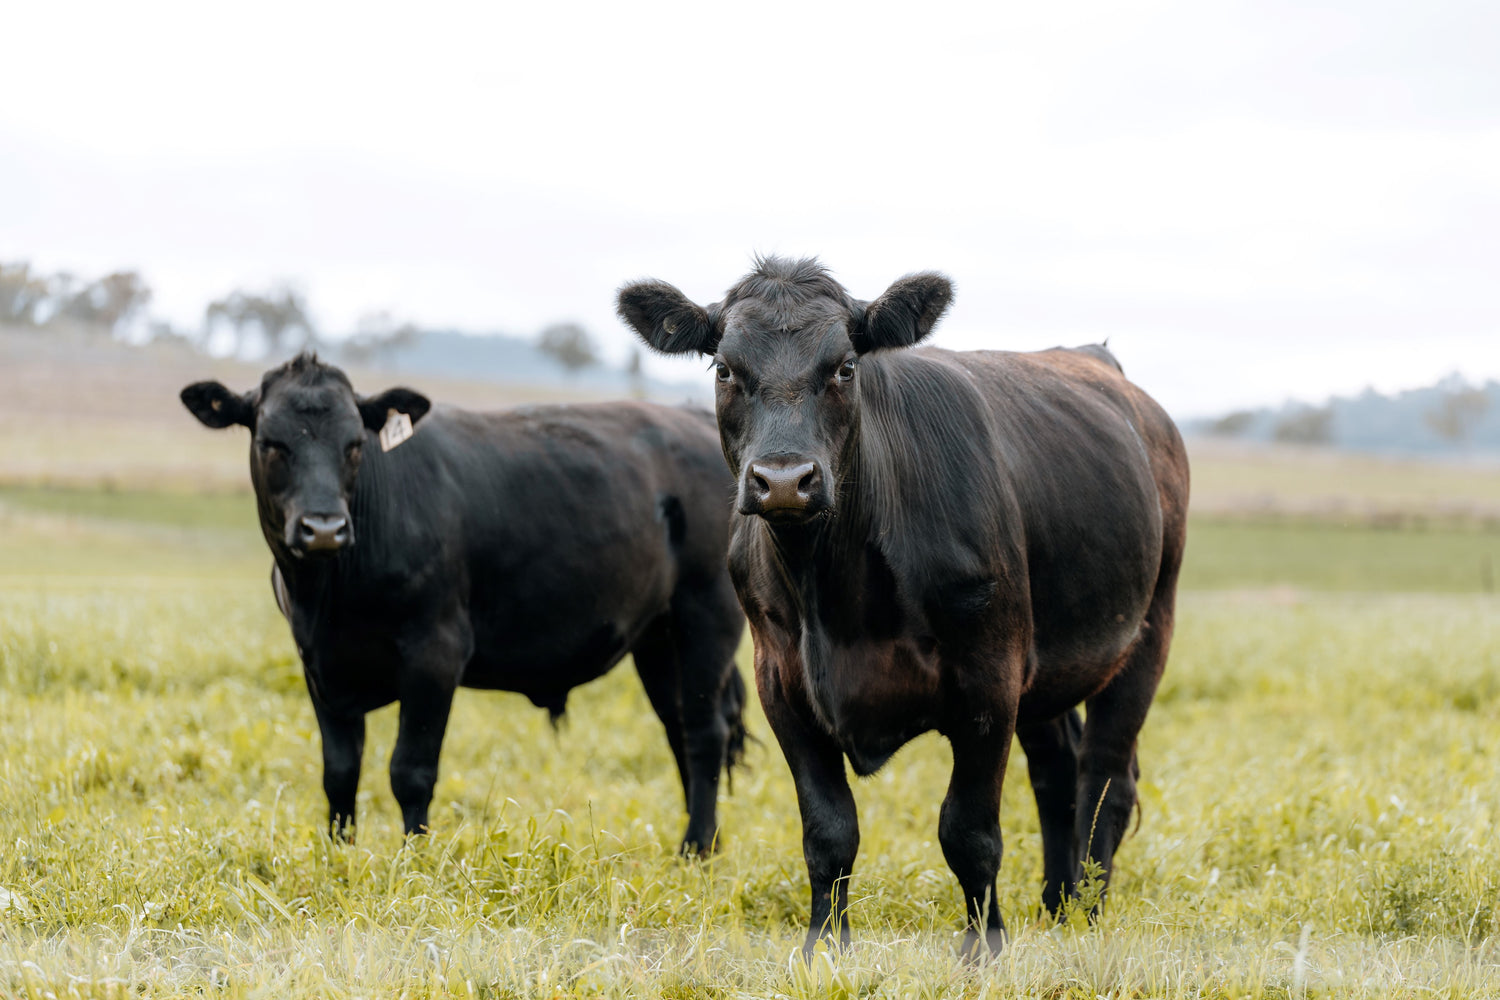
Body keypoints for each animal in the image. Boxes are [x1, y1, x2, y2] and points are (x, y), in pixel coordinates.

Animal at [180, 354, 747, 855]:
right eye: (270, 443)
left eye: (354, 445)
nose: (323, 527)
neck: (329, 596)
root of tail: (695, 418)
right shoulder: (319, 665)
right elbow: (339, 772)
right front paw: (338, 854)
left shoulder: (435, 653)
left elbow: (410, 770)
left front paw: (415, 860)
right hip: (658, 639)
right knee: (679, 729)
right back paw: (709, 842)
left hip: (708, 617)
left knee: (705, 733)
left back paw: (695, 847)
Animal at [617, 257, 1188, 957]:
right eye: (725, 369)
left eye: (844, 367)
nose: (784, 480)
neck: (835, 595)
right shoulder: (781, 681)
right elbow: (828, 831)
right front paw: (824, 948)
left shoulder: (988, 677)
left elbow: (968, 831)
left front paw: (983, 950)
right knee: (1057, 773)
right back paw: (1056, 904)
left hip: (1147, 631)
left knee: (1104, 778)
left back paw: (1086, 913)